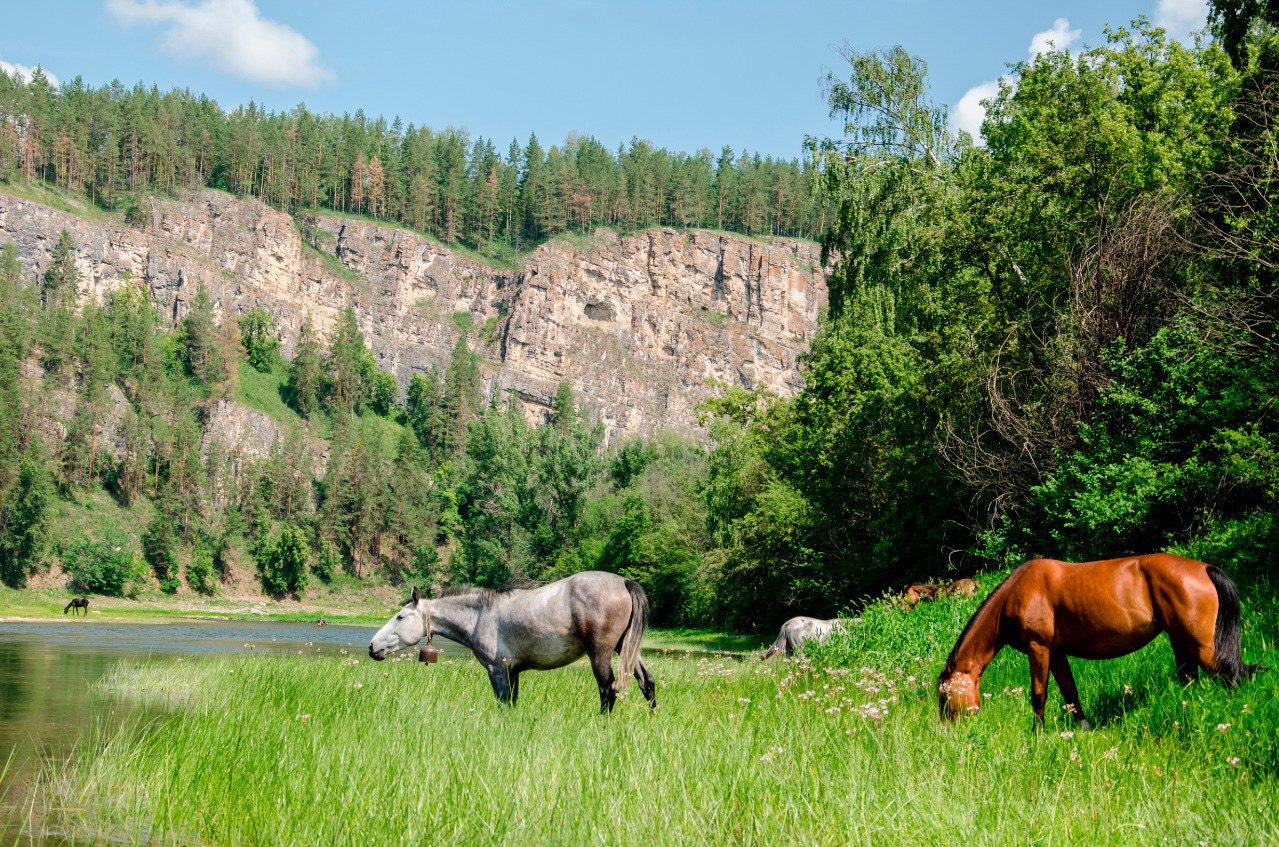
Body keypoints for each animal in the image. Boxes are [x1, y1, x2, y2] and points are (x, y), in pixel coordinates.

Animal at [365, 570, 654, 716]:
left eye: (400, 617)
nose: (372, 646)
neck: (480, 614)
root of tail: (623, 582)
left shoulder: (497, 670)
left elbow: (503, 703)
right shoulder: (512, 672)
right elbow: (512, 704)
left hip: (600, 654)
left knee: (608, 689)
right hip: (626, 648)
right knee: (647, 682)